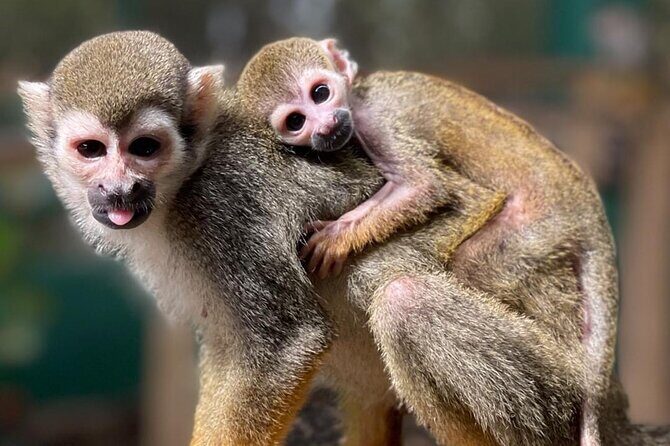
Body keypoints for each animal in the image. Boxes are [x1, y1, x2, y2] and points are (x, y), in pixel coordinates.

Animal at [19, 31, 669, 446]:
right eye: (91, 150)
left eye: (145, 148)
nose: (120, 188)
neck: (182, 186)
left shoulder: (225, 209)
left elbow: (284, 344)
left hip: (560, 377)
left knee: (407, 303)